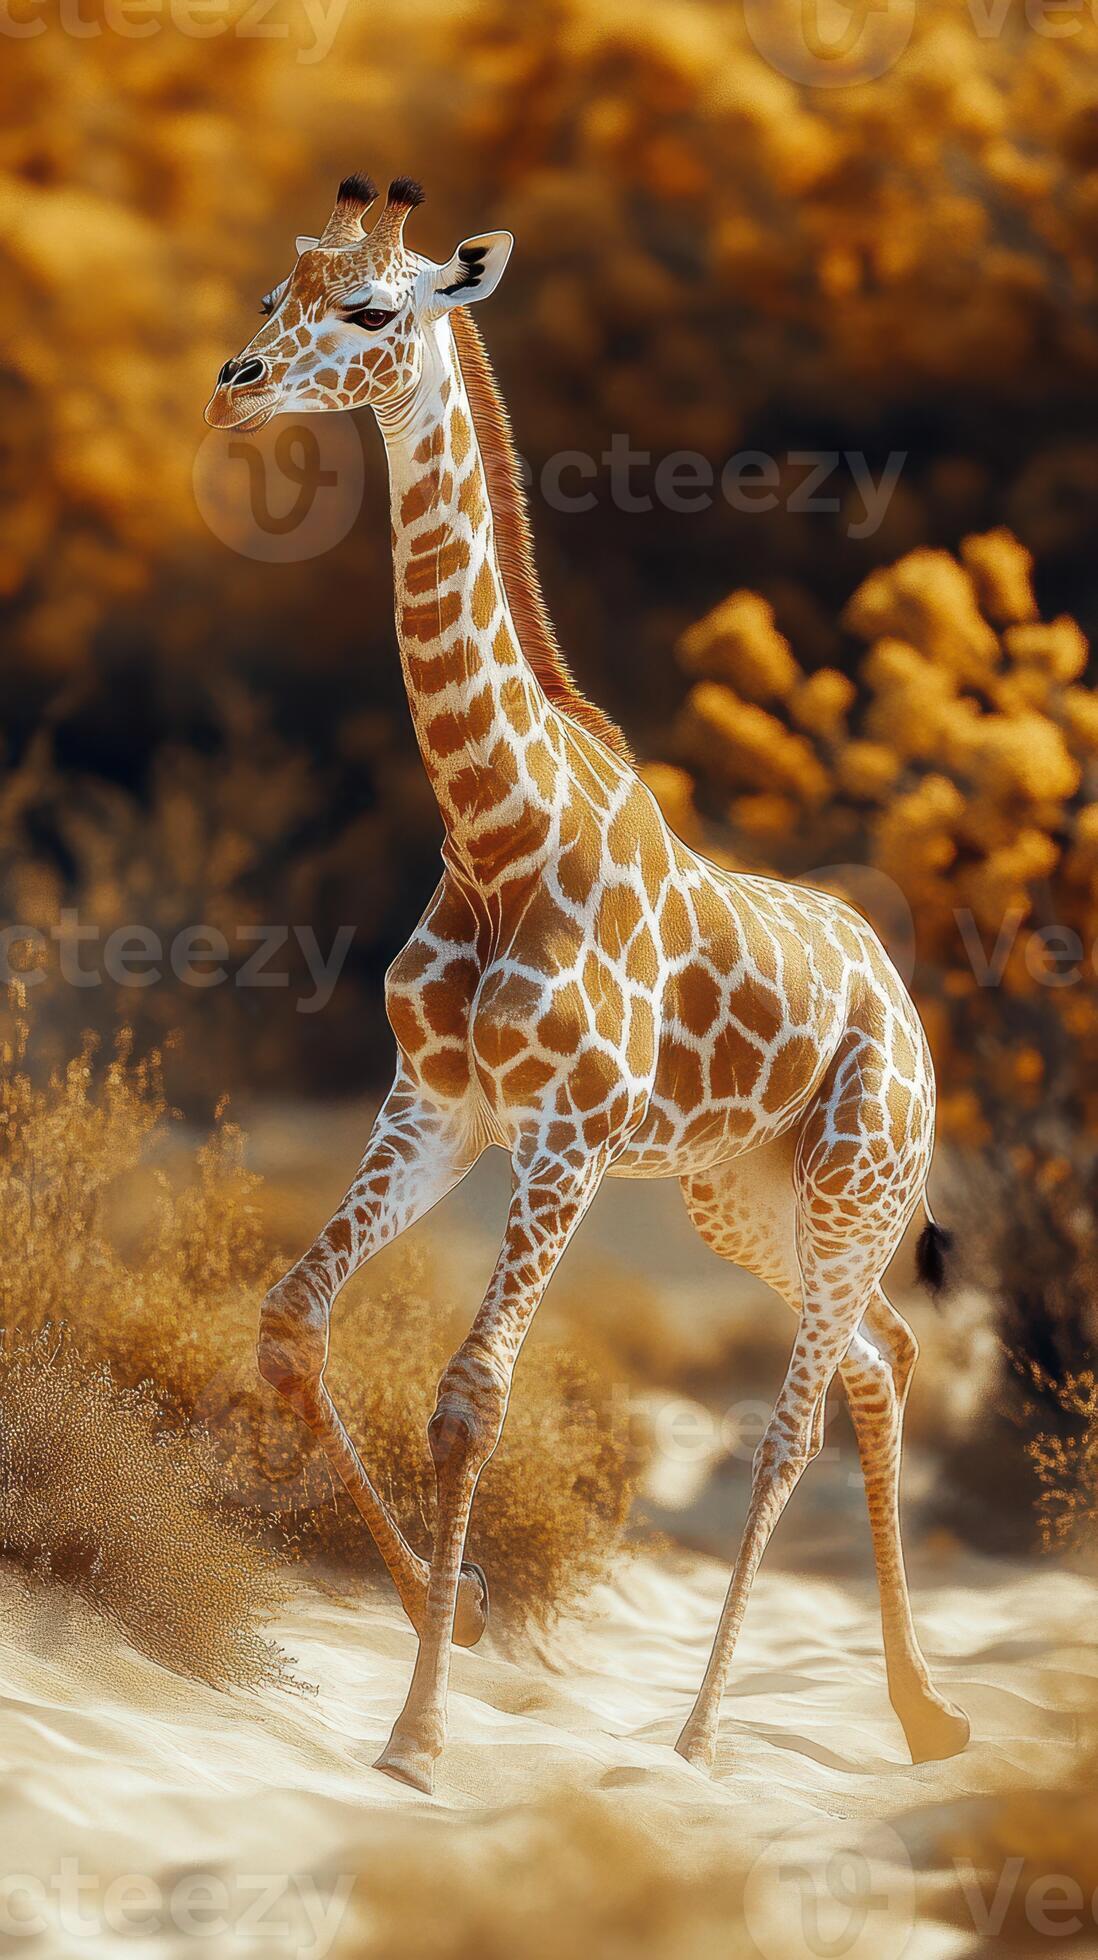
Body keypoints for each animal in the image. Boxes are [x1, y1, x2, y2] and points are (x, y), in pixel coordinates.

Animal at [205, 173, 970, 1794]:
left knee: (794, 1417)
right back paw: (921, 1714)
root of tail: (898, 991)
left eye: (370, 309)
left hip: (852, 1179)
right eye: (267, 296)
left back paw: (700, 1731)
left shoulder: (563, 1138)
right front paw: (467, 1616)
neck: (495, 827)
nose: (232, 390)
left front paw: (420, 1730)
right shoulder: (435, 1106)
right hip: (745, 1199)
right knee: (878, 1360)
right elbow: (293, 1324)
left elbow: (471, 1396)